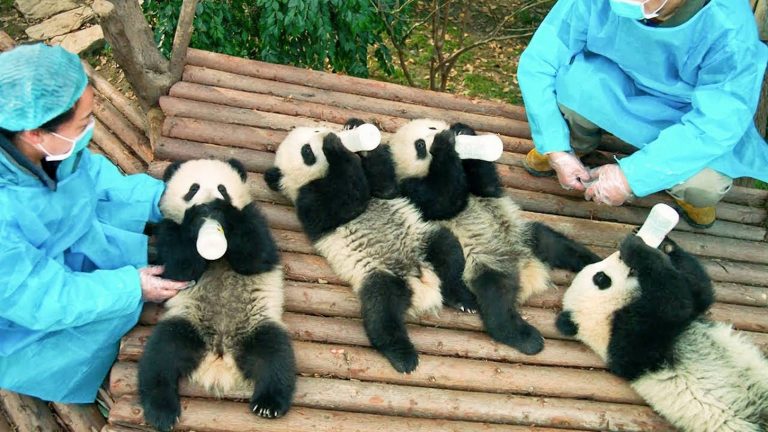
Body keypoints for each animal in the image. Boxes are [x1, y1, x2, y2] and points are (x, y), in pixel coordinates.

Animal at [138, 159, 296, 431]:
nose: (210, 204)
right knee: (161, 356)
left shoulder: (253, 219)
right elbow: (180, 268)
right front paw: (195, 217)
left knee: (275, 356)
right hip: (187, 323)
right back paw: (162, 411)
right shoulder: (169, 230)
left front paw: (224, 211)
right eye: (193, 188)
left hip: (257, 326)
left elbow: (255, 257)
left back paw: (268, 404)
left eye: (223, 188)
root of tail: (220, 356)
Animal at [264, 125, 475, 373]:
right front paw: (336, 147)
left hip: (422, 239)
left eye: (316, 128)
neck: (322, 175)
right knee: (381, 310)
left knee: (448, 253)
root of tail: (418, 280)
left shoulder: (388, 187)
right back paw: (403, 356)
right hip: (376, 274)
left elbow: (385, 186)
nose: (325, 133)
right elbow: (347, 201)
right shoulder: (309, 203)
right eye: (306, 150)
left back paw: (463, 299)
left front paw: (357, 134)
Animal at [387, 119, 600, 355]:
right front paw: (444, 146)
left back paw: (597, 262)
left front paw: (462, 130)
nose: (440, 134)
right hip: (485, 263)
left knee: (557, 244)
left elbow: (485, 184)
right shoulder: (412, 191)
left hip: (524, 234)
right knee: (496, 299)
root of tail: (527, 267)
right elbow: (443, 200)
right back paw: (526, 338)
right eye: (420, 146)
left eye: (432, 128)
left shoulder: (478, 186)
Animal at [556, 234, 768, 432]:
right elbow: (674, 303)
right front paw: (637, 248)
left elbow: (698, 294)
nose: (619, 256)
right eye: (601, 278)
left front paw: (664, 244)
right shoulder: (630, 341)